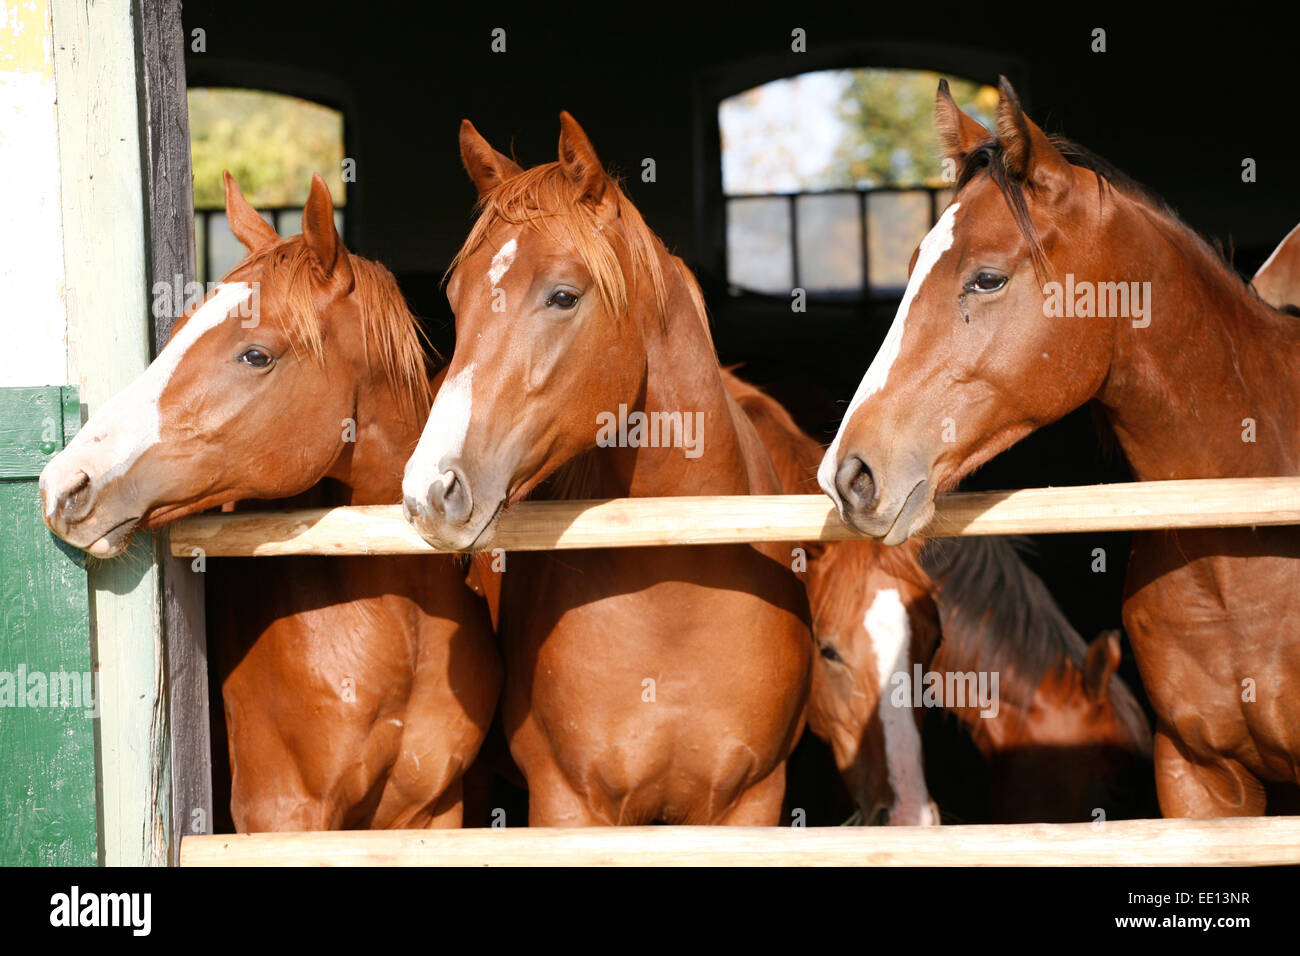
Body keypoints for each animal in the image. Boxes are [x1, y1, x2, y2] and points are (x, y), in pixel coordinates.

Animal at [401, 114, 811, 826]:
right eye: (456, 298)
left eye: (563, 296)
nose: (433, 490)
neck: (677, 595)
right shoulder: (569, 803)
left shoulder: (751, 801)